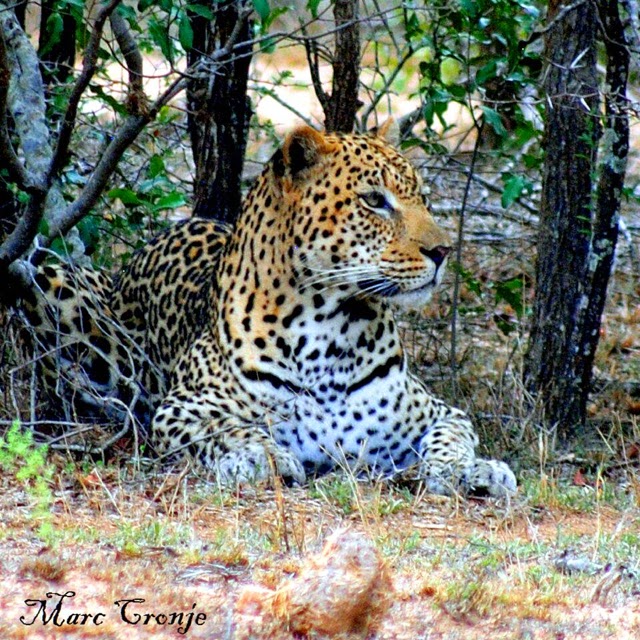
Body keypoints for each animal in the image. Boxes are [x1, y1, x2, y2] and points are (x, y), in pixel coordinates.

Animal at [18, 120, 517, 497]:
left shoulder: (438, 412)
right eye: (374, 200)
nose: (443, 251)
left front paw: (474, 470)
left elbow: (452, 437)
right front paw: (265, 457)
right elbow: (233, 428)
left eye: (424, 199)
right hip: (46, 276)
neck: (332, 328)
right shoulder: (181, 408)